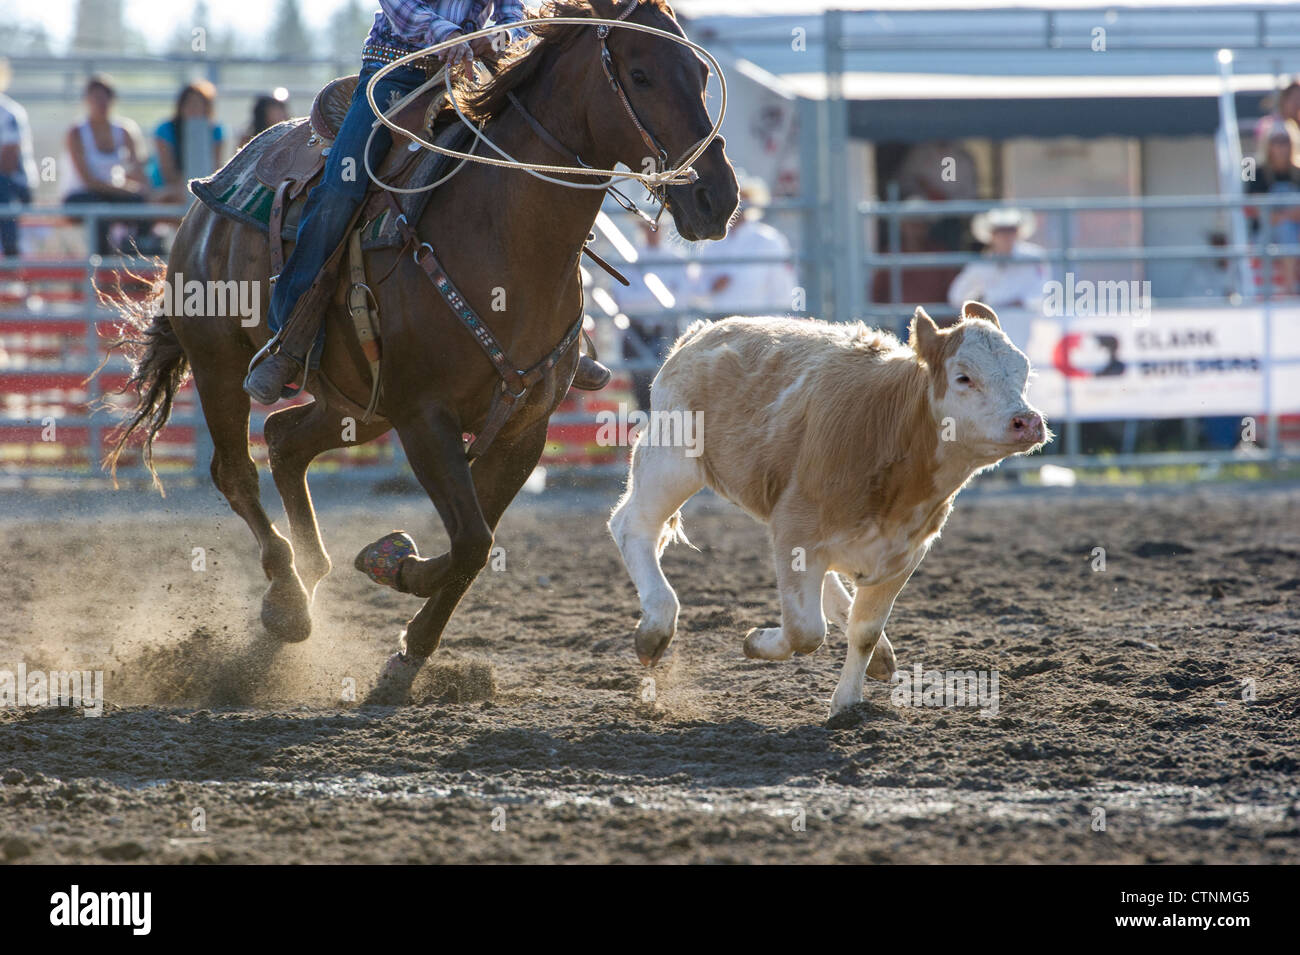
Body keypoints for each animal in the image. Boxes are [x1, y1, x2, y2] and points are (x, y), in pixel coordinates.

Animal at [608, 301, 1050, 718]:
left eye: (1023, 372)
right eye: (963, 377)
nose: (1027, 421)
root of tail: (700, 332)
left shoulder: (904, 553)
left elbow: (864, 631)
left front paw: (847, 703)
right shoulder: (796, 528)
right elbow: (804, 630)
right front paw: (757, 641)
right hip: (672, 457)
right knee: (632, 526)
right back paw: (655, 625)